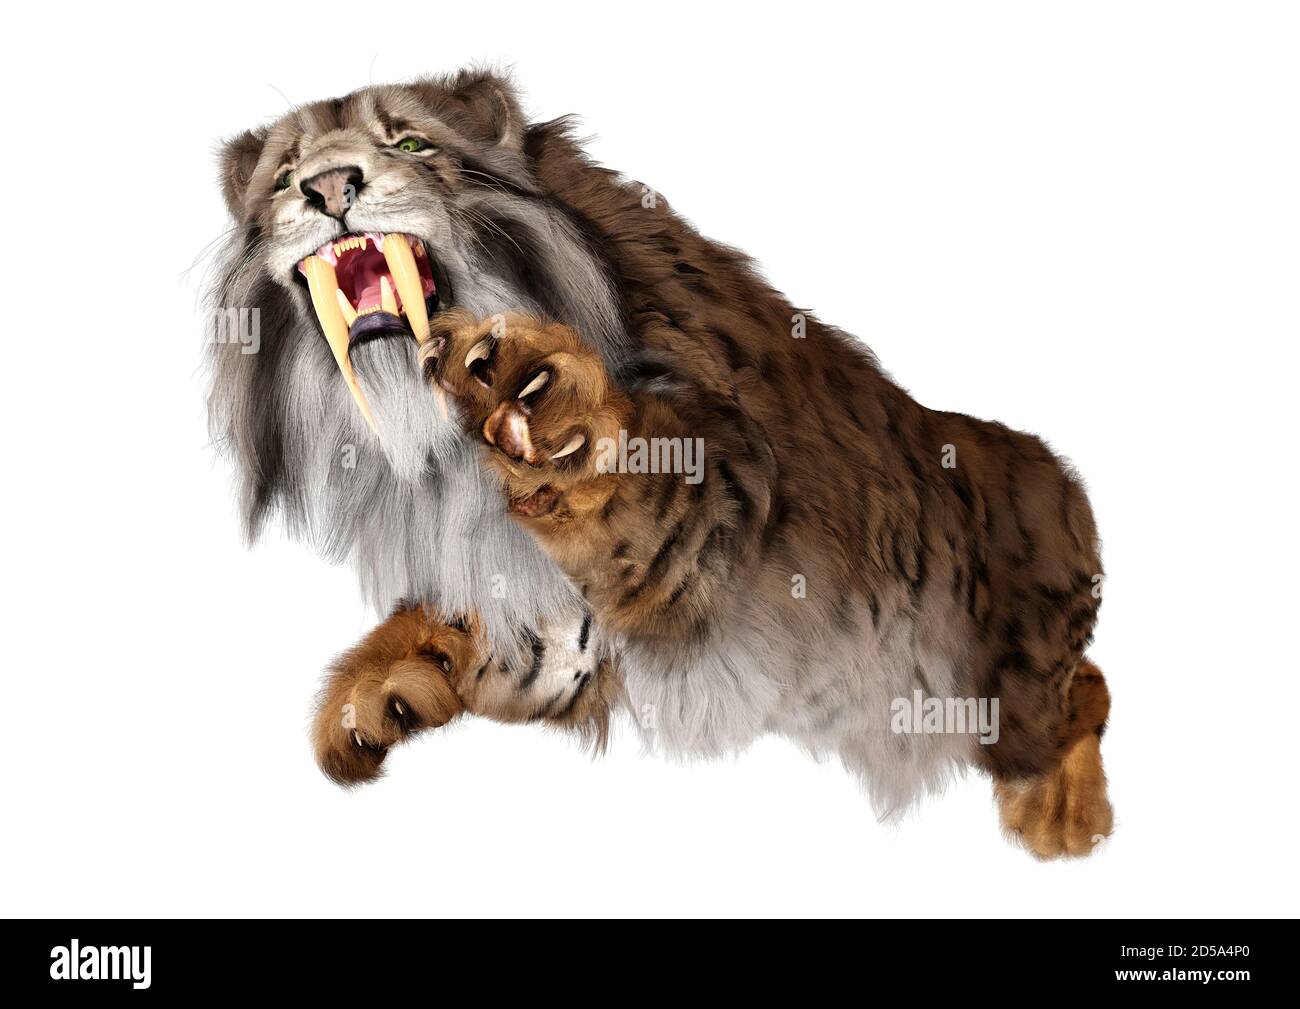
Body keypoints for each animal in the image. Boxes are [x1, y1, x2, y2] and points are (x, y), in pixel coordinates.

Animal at [208, 68, 1113, 858]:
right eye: (284, 177)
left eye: (410, 142)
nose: (327, 187)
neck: (437, 453)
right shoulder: (555, 638)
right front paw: (379, 687)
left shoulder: (707, 532)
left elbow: (623, 475)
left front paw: (531, 386)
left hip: (1013, 643)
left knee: (1082, 695)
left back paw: (1064, 814)